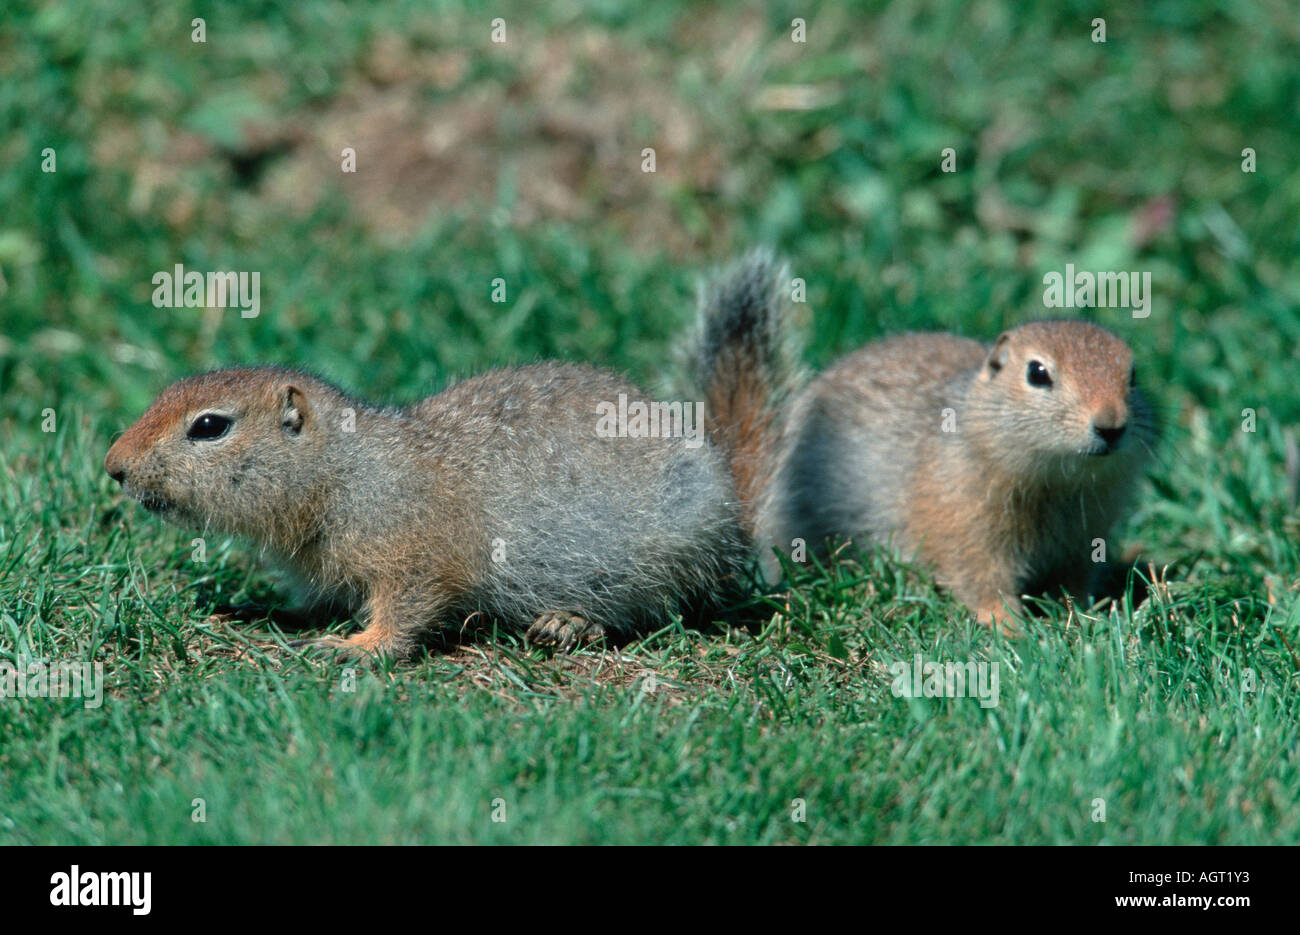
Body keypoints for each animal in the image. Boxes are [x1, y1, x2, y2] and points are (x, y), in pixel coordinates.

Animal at [104, 362, 747, 658]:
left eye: (209, 426)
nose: (113, 465)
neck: (343, 471)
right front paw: (257, 608)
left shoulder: (414, 548)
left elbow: (409, 602)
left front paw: (357, 647)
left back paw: (570, 623)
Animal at [692, 250, 1157, 630]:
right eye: (1037, 373)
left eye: (1133, 375)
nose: (1111, 425)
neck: (1057, 482)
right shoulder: (962, 527)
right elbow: (981, 581)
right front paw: (1009, 627)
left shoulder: (1083, 540)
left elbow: (1074, 583)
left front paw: (1082, 618)